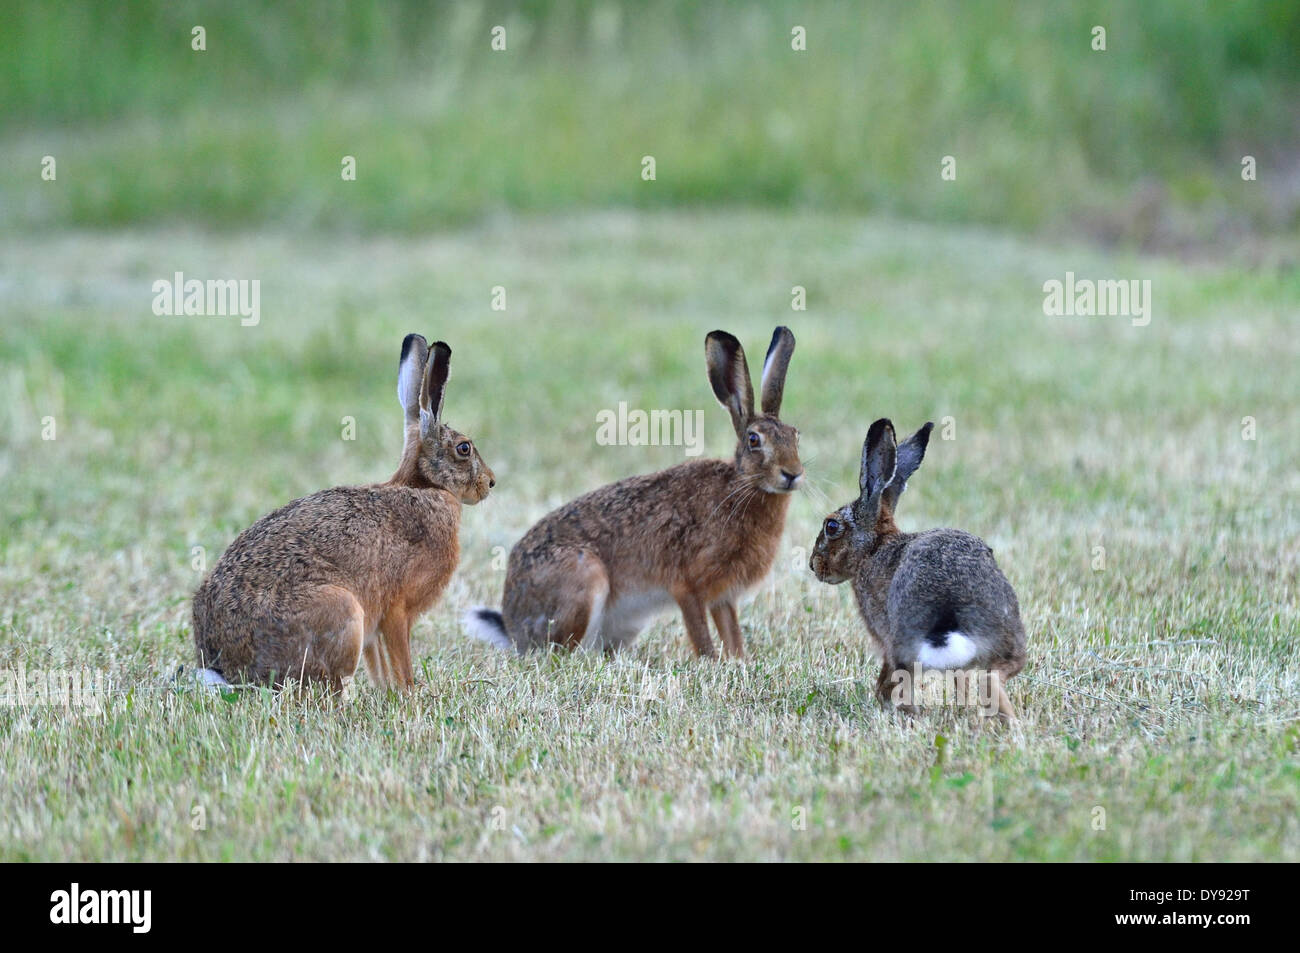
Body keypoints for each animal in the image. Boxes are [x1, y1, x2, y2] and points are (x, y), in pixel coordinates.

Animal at [192, 334, 495, 691]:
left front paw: (387, 693)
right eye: (464, 448)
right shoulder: (397, 610)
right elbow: (402, 661)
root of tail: (225, 663)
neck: (425, 487)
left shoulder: (374, 629)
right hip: (344, 610)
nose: (490, 482)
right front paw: (409, 694)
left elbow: (379, 665)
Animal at [466, 327, 803, 659]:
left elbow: (731, 634)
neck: (743, 486)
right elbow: (701, 634)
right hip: (584, 577)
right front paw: (712, 662)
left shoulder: (723, 597)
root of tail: (514, 627)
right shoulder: (688, 586)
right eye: (754, 440)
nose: (793, 474)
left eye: (796, 435)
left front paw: (737, 661)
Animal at [809, 418, 1025, 718]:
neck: (874, 547)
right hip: (1008, 637)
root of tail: (951, 609)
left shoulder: (882, 635)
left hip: (904, 643)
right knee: (990, 679)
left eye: (831, 526)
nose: (813, 565)